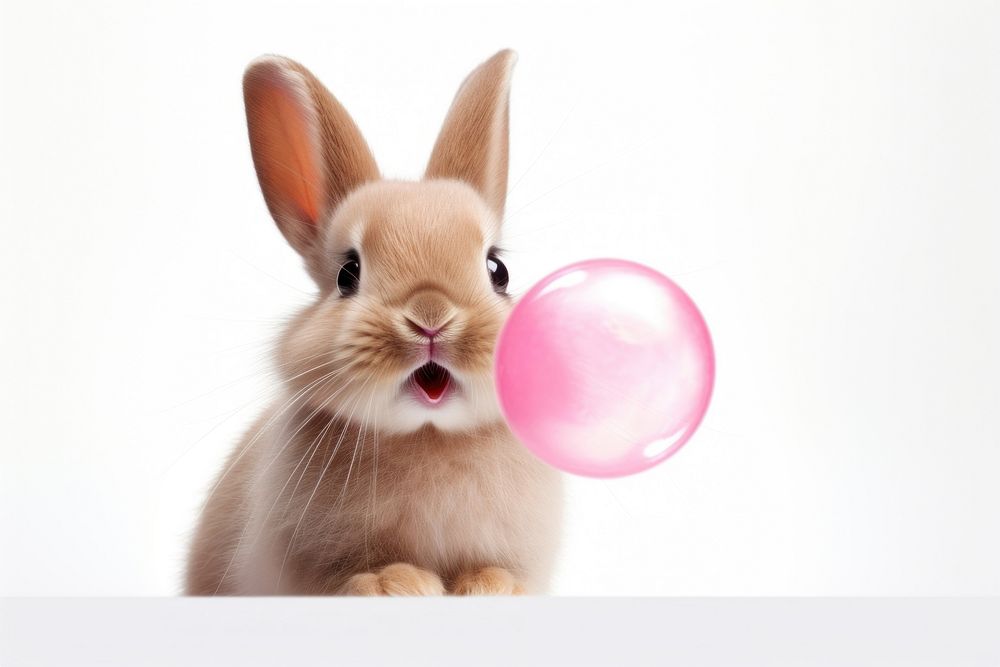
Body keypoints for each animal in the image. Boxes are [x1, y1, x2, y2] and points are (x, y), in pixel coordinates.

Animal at [185, 50, 563, 595]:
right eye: (349, 273)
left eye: (498, 271)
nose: (431, 318)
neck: (428, 436)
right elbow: (351, 575)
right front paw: (399, 584)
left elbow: (500, 569)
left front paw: (490, 587)